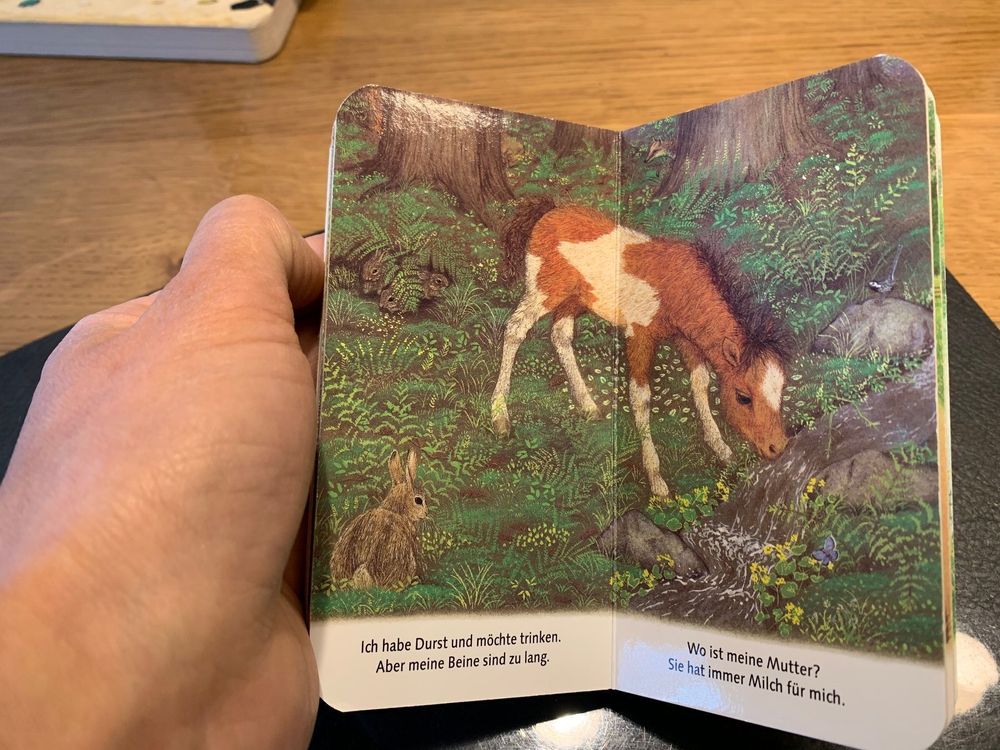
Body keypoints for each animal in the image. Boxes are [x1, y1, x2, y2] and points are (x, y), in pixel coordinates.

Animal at [491, 198, 790, 497]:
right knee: (515, 329)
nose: (777, 447)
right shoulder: (639, 335)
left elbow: (700, 384)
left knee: (560, 335)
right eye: (743, 397)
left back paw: (588, 405)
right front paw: (656, 480)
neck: (680, 286)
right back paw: (500, 417)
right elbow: (641, 397)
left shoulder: (685, 339)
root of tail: (550, 211)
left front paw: (722, 449)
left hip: (575, 300)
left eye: (780, 394)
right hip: (545, 292)